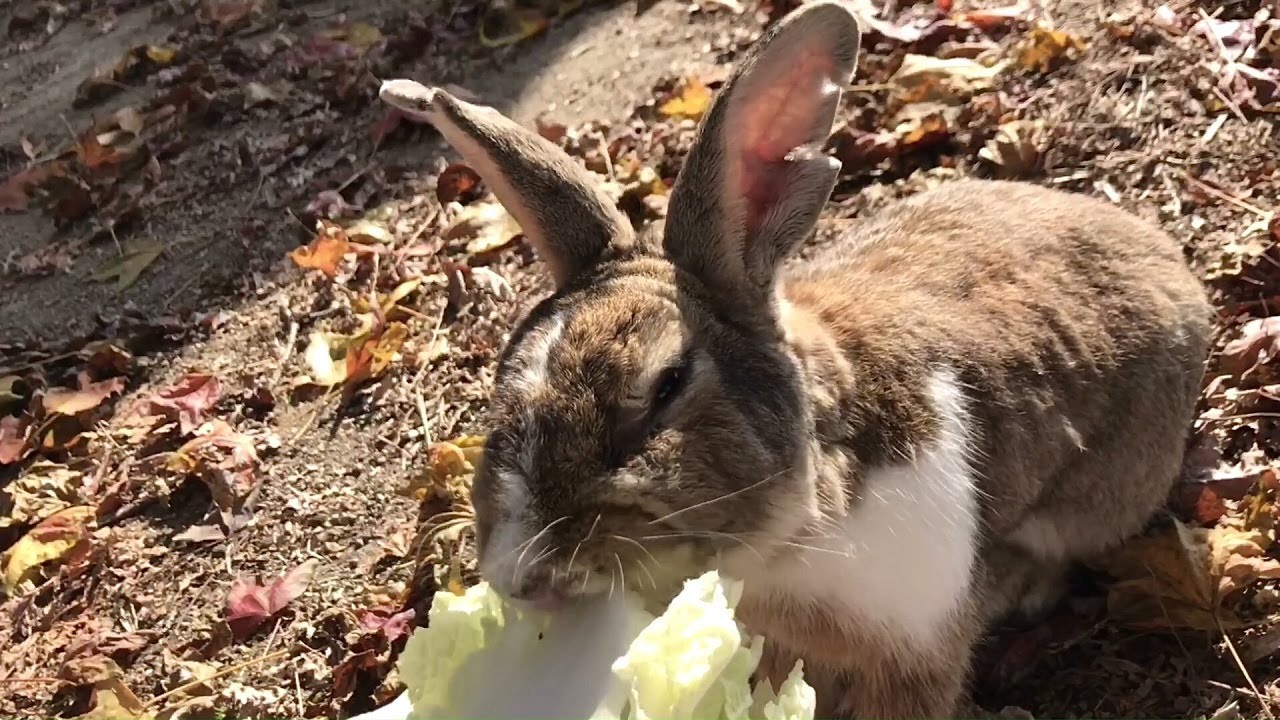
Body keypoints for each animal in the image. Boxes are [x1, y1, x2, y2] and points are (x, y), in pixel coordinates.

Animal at [379, 1, 1212, 716]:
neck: (786, 540)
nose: (521, 578)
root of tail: (1171, 265)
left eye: (667, 385)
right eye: (498, 387)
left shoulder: (918, 649)